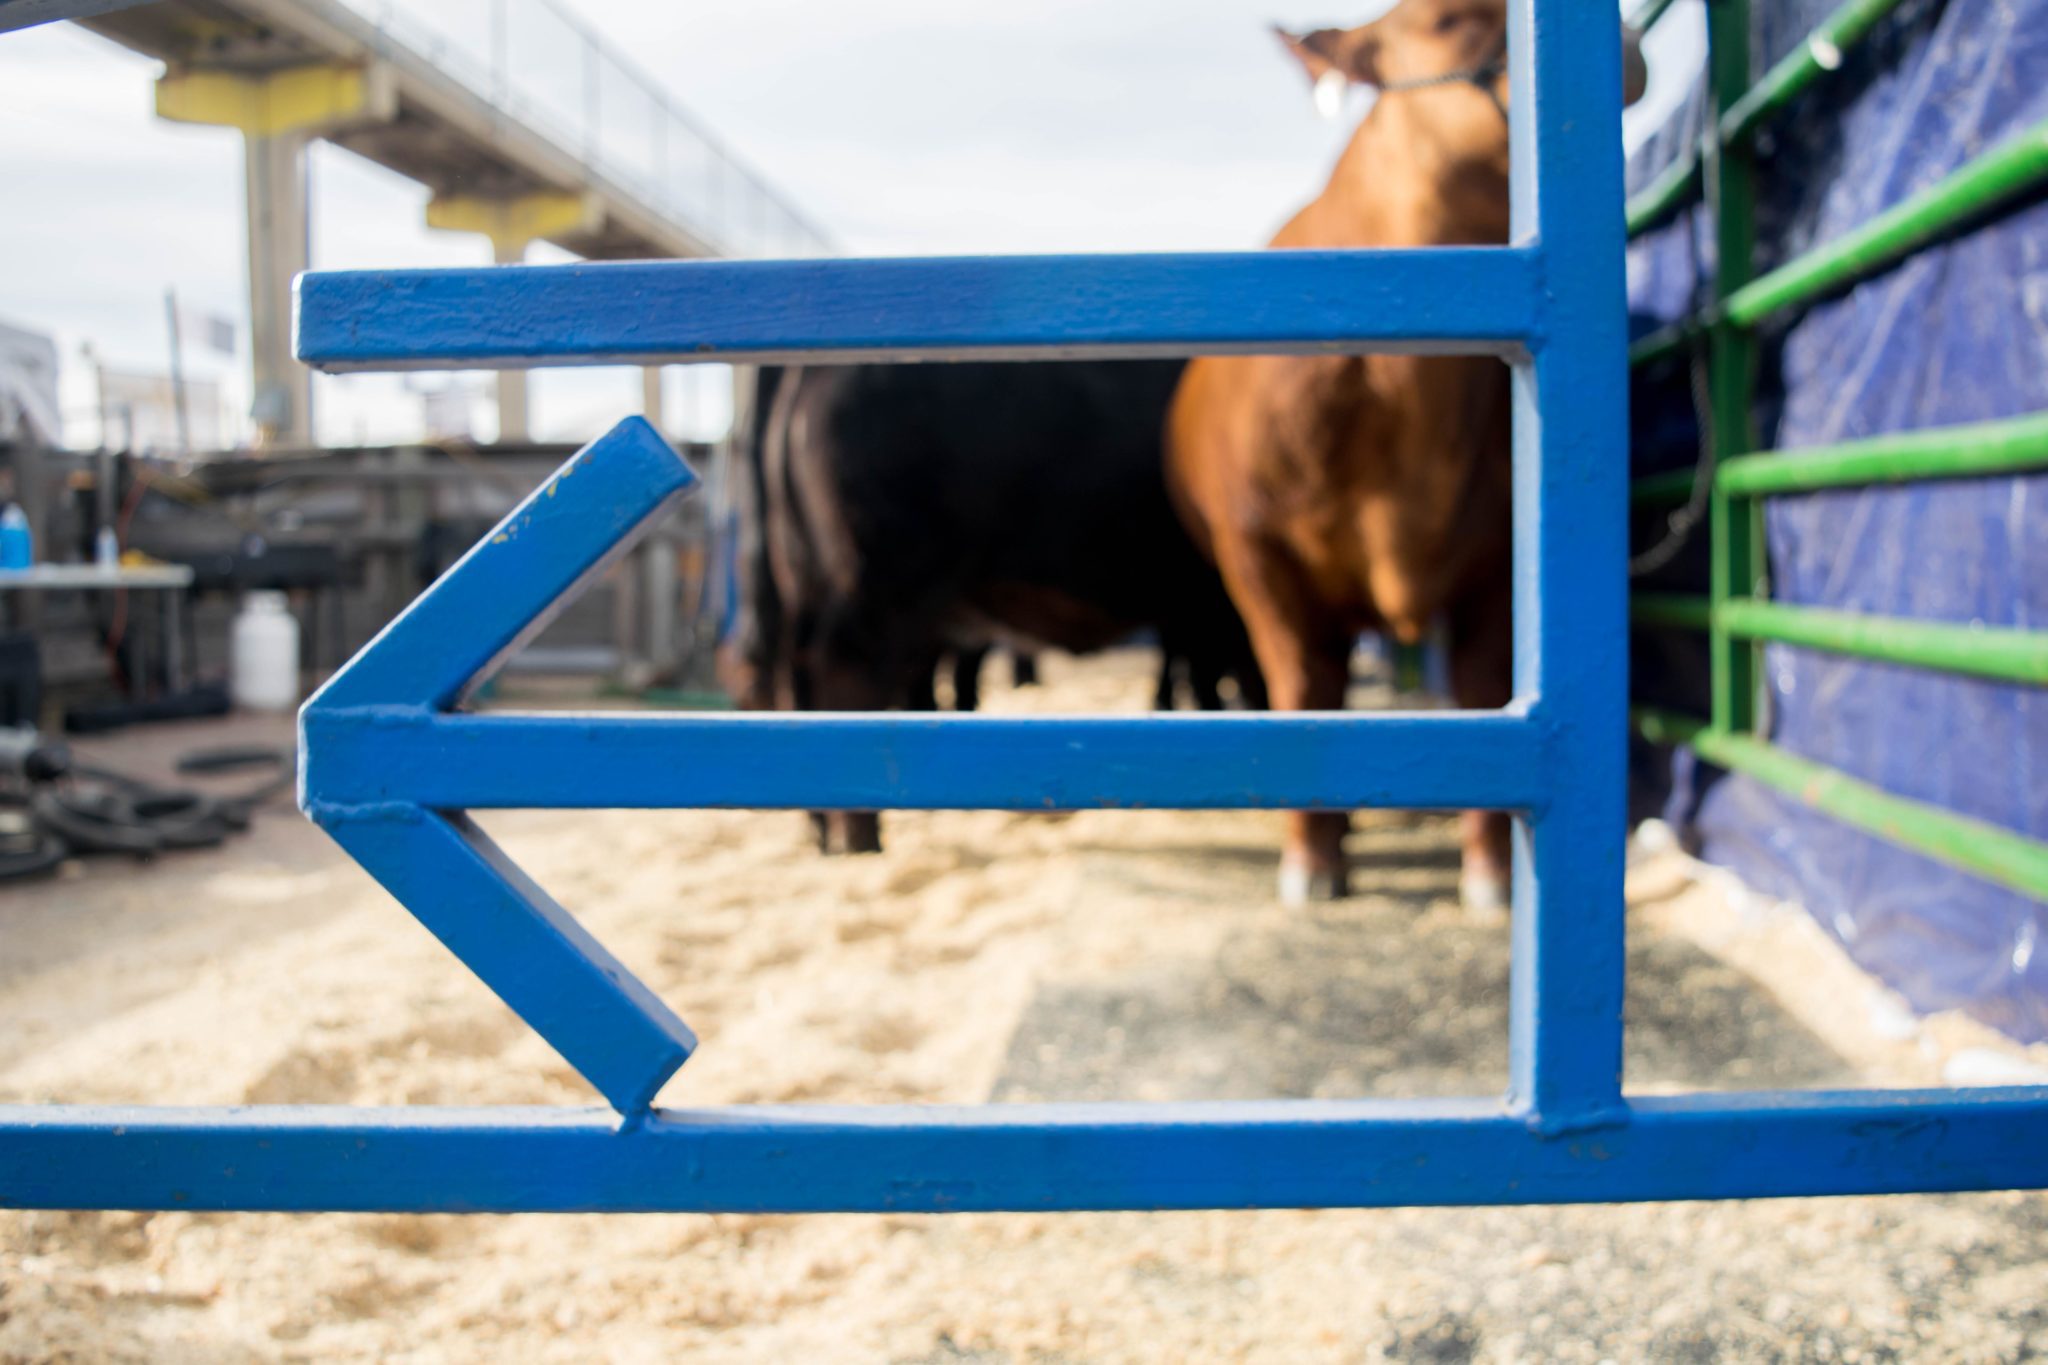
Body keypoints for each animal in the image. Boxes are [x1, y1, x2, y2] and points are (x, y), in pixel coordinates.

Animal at [726, 359, 1265, 854]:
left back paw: (824, 830)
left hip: (812, 580)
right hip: (882, 580)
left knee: (801, 680)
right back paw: (862, 837)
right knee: (846, 675)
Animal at [1164, 0, 1644, 907]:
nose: (1631, 47)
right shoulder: (1258, 555)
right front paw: (1312, 860)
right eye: (1446, 18)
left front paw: (1491, 872)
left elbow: (1485, 693)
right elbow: (1301, 690)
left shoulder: (1497, 560)